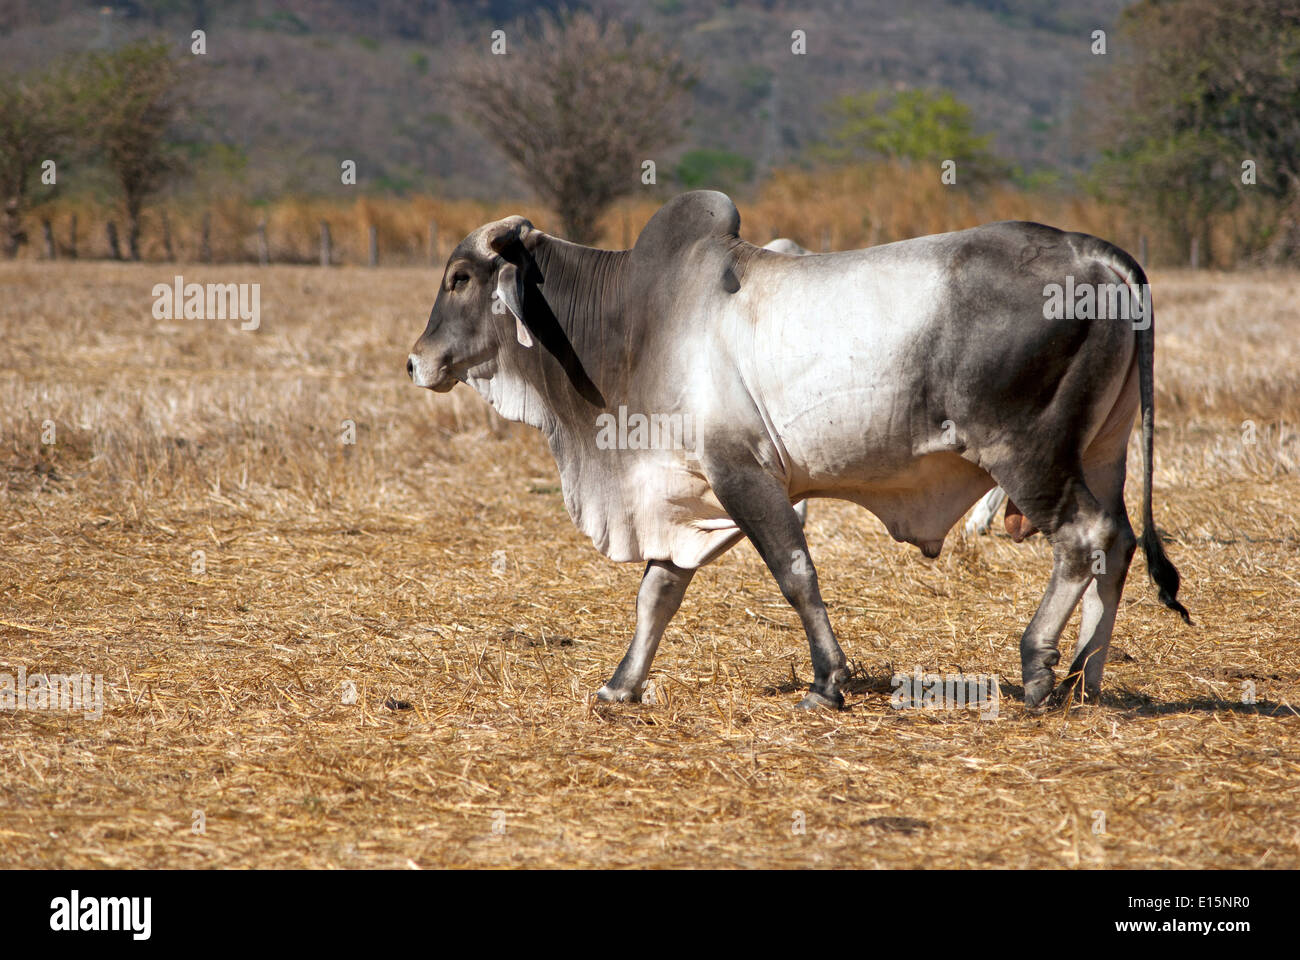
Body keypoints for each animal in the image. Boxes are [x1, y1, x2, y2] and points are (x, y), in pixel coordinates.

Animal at [407, 191, 1190, 711]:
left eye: (459, 278)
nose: (416, 362)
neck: (630, 321)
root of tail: (1094, 252)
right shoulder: (690, 495)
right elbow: (657, 593)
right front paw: (622, 685)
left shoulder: (742, 474)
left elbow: (795, 574)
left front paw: (827, 682)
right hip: (1102, 452)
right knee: (1117, 542)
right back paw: (1086, 676)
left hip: (1027, 455)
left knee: (1082, 539)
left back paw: (1038, 668)